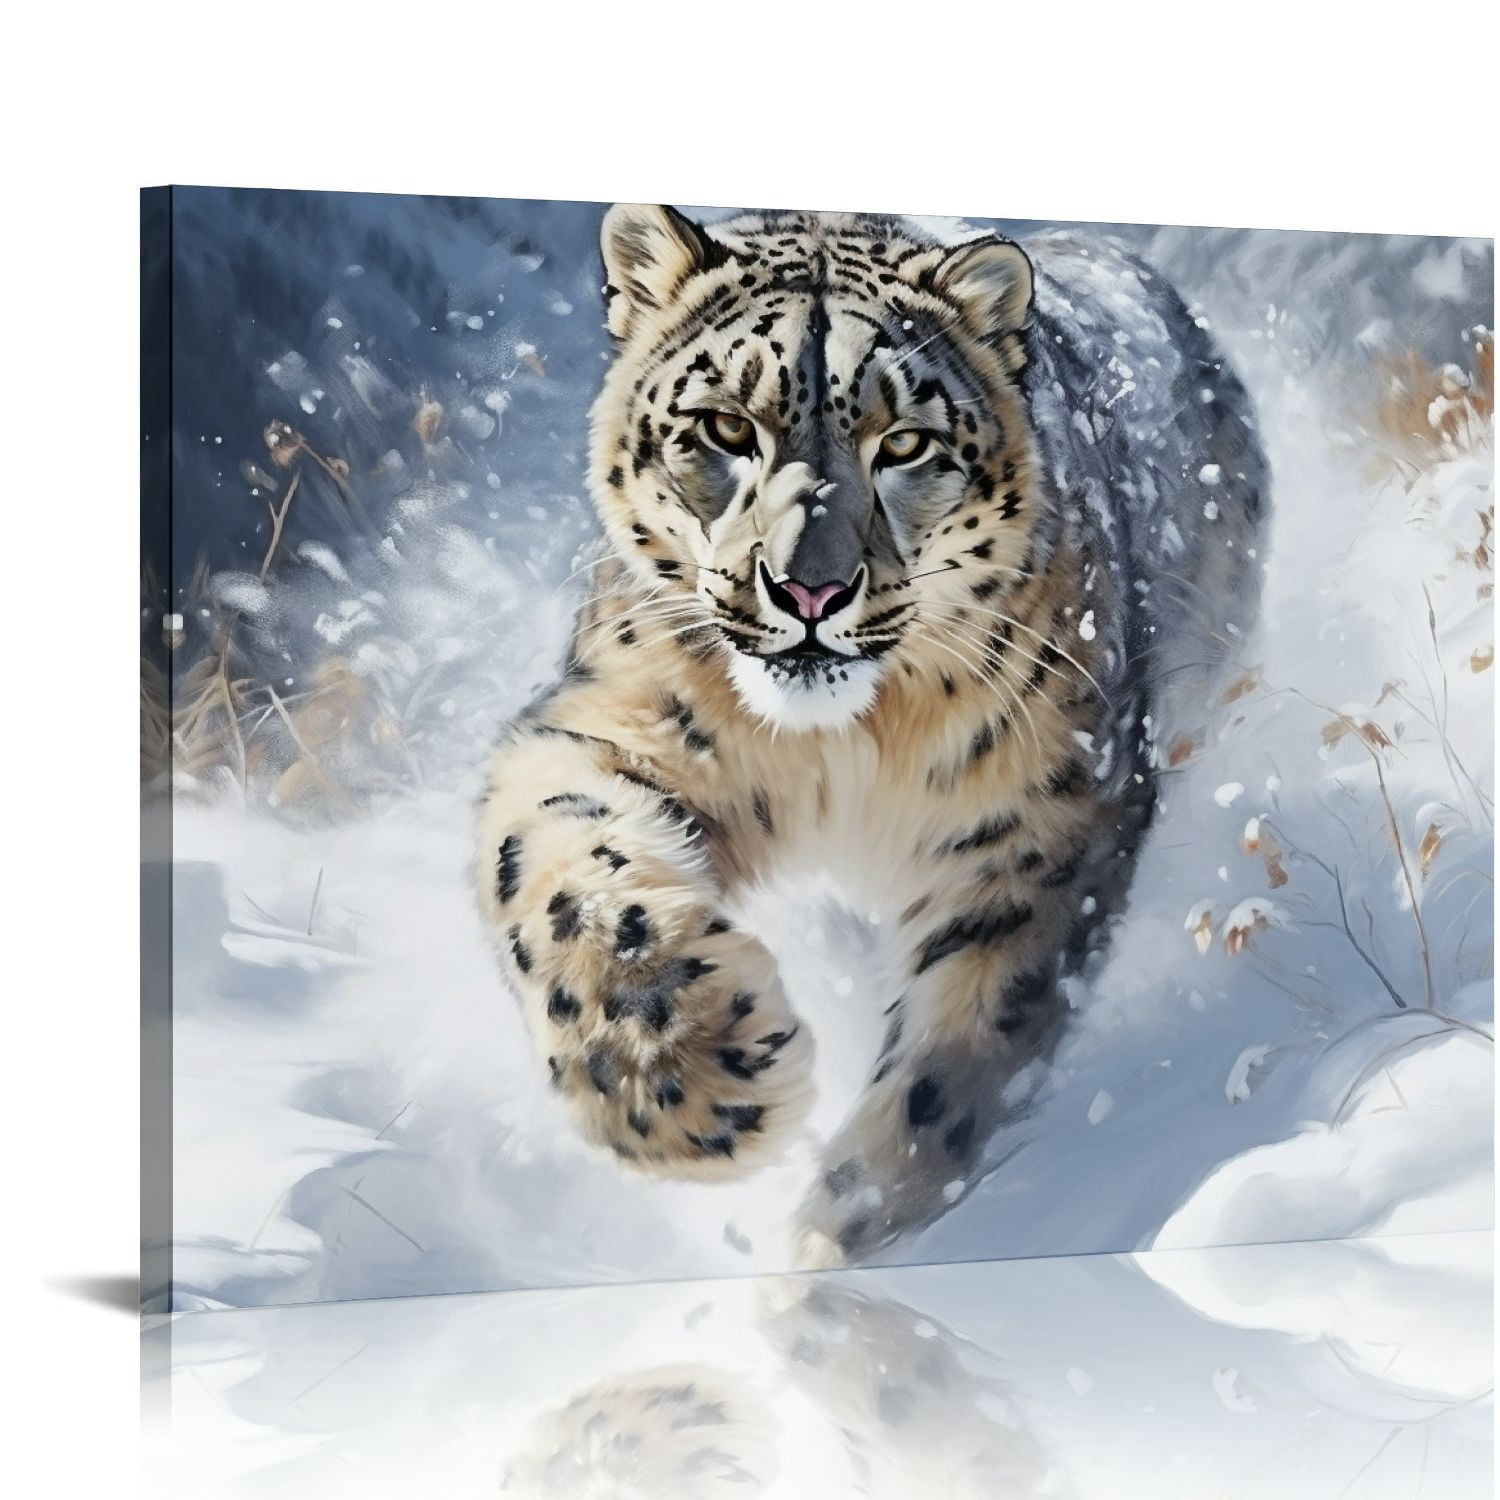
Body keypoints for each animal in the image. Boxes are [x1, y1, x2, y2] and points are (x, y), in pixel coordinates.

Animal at [476, 202, 1267, 1269]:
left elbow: (965, 1047)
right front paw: (685, 1089)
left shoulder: (1045, 816)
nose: (808, 590)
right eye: (725, 426)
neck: (839, 750)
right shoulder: (605, 723)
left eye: (906, 443)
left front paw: (828, 1232)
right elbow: (574, 882)